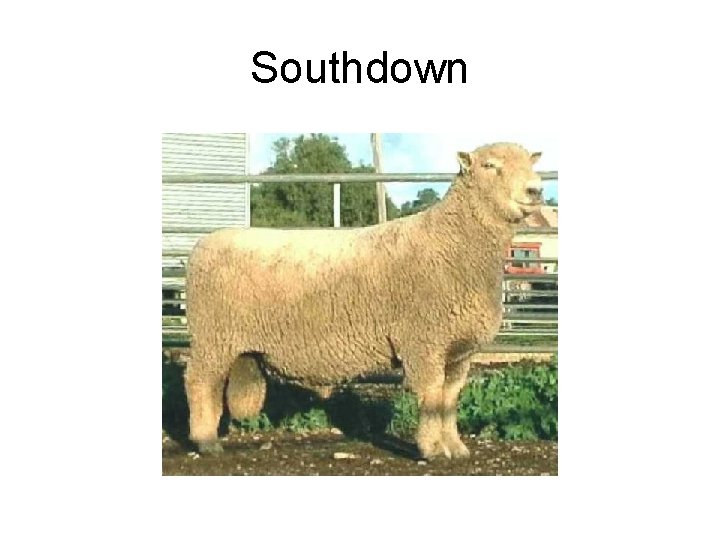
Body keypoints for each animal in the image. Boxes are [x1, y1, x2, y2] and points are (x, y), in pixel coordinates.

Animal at [184, 142, 544, 459]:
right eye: (490, 165)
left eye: (531, 163)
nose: (535, 191)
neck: (451, 241)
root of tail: (203, 244)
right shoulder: (423, 342)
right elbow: (431, 398)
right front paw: (431, 449)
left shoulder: (459, 350)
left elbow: (448, 401)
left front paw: (455, 448)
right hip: (212, 337)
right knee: (199, 382)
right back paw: (206, 441)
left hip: (232, 343)